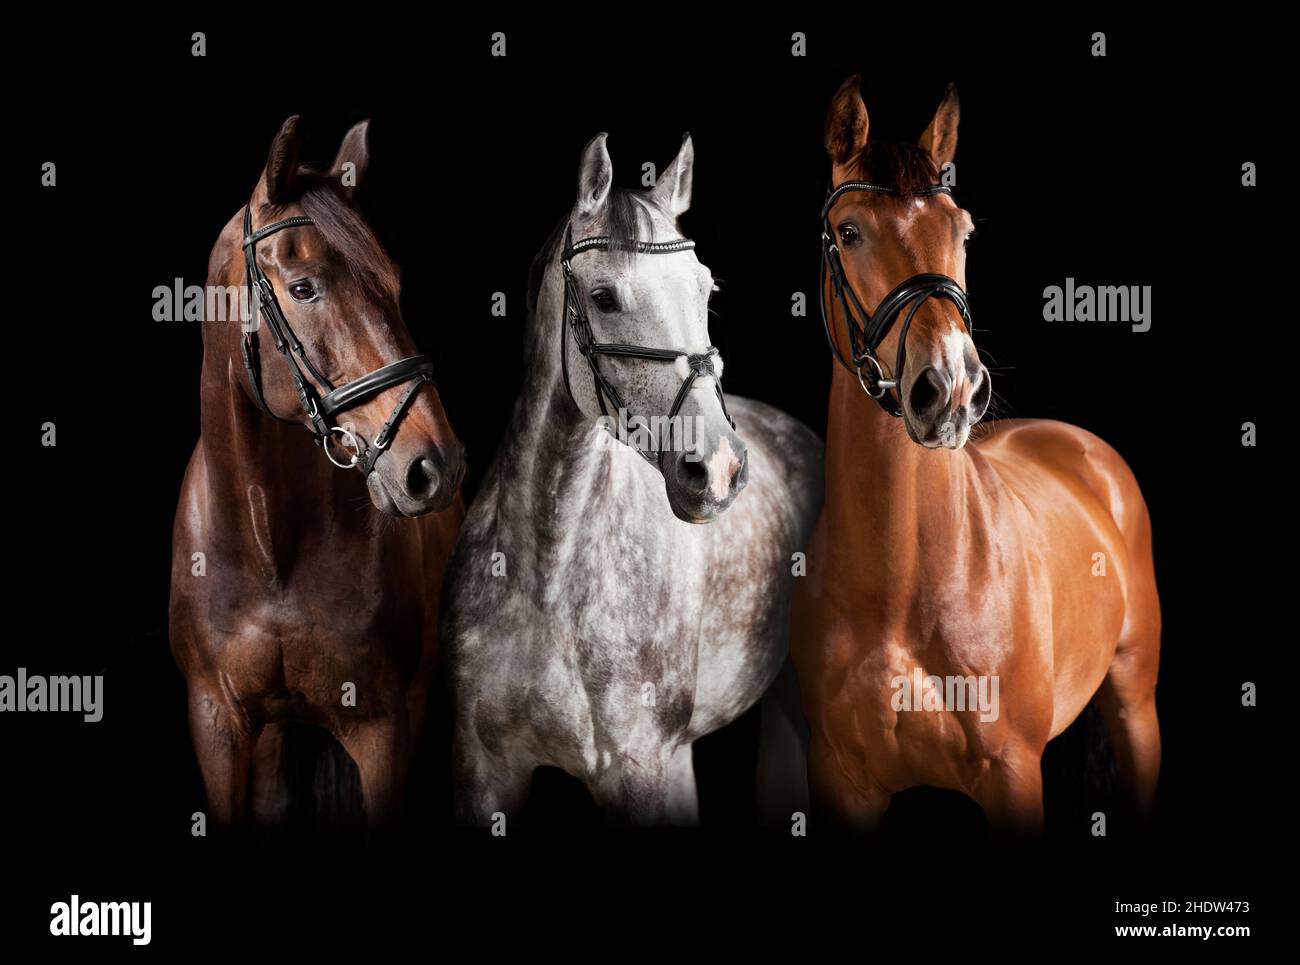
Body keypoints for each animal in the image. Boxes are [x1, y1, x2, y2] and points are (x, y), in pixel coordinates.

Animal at [169, 116, 465, 834]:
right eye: (304, 287)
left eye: (393, 283)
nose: (434, 466)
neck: (268, 543)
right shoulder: (218, 726)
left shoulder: (383, 731)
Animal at [441, 134, 822, 826]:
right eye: (604, 298)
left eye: (705, 290)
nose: (718, 468)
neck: (549, 573)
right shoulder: (480, 771)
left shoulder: (640, 769)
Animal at [791, 78, 1161, 835]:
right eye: (849, 232)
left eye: (961, 231)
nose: (953, 386)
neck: (900, 584)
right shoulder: (841, 780)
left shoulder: (1011, 773)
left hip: (1137, 705)